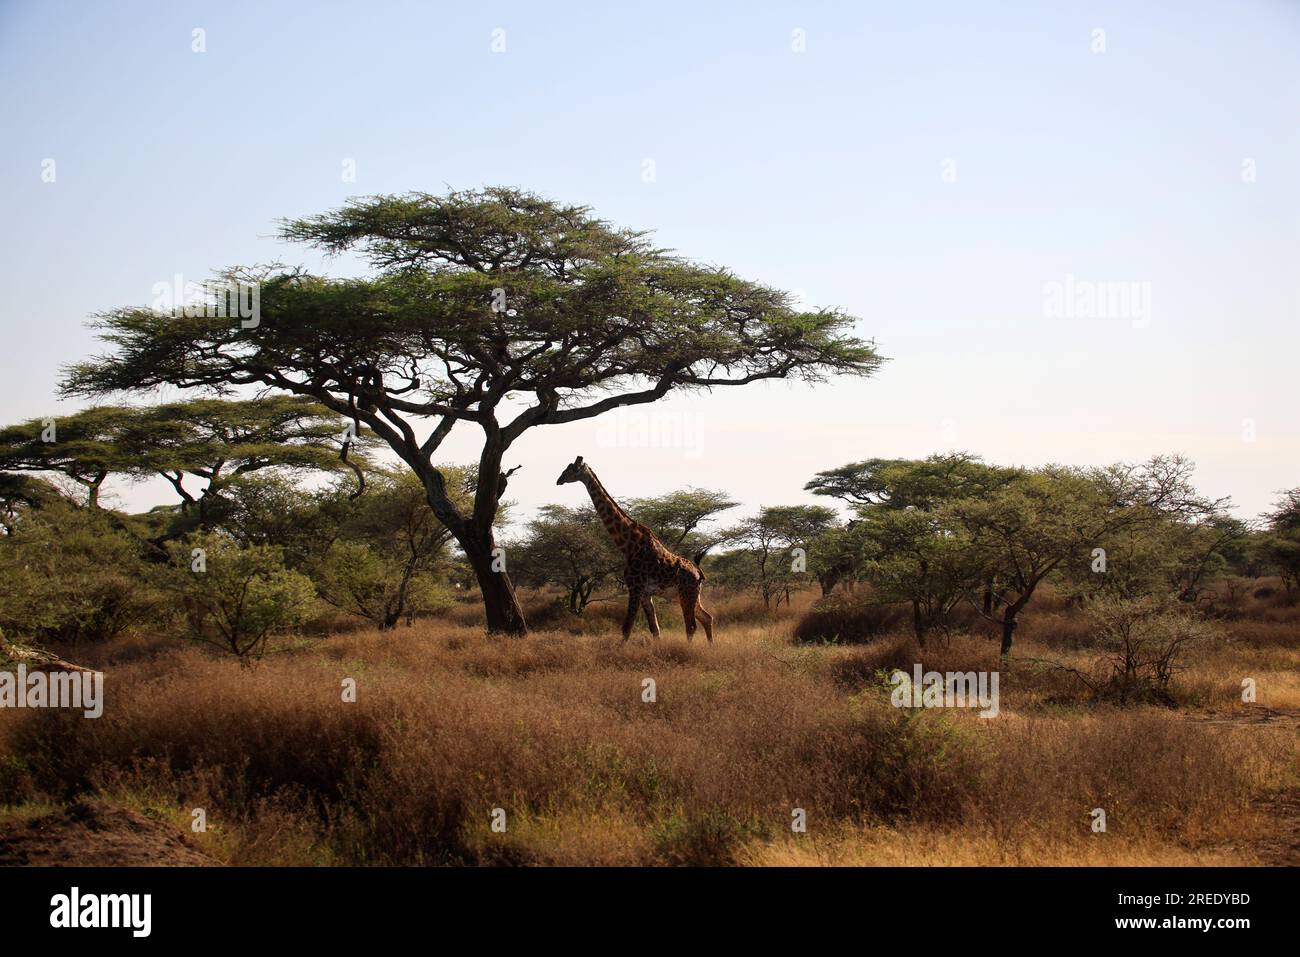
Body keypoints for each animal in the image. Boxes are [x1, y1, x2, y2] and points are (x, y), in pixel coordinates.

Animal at [557, 456, 714, 644]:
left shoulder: (635, 587)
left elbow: (627, 628)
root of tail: (699, 573)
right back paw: (711, 647)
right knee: (706, 618)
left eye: (572, 470)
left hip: (686, 593)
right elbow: (655, 629)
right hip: (689, 596)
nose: (559, 480)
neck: (629, 547)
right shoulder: (645, 593)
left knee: (691, 626)